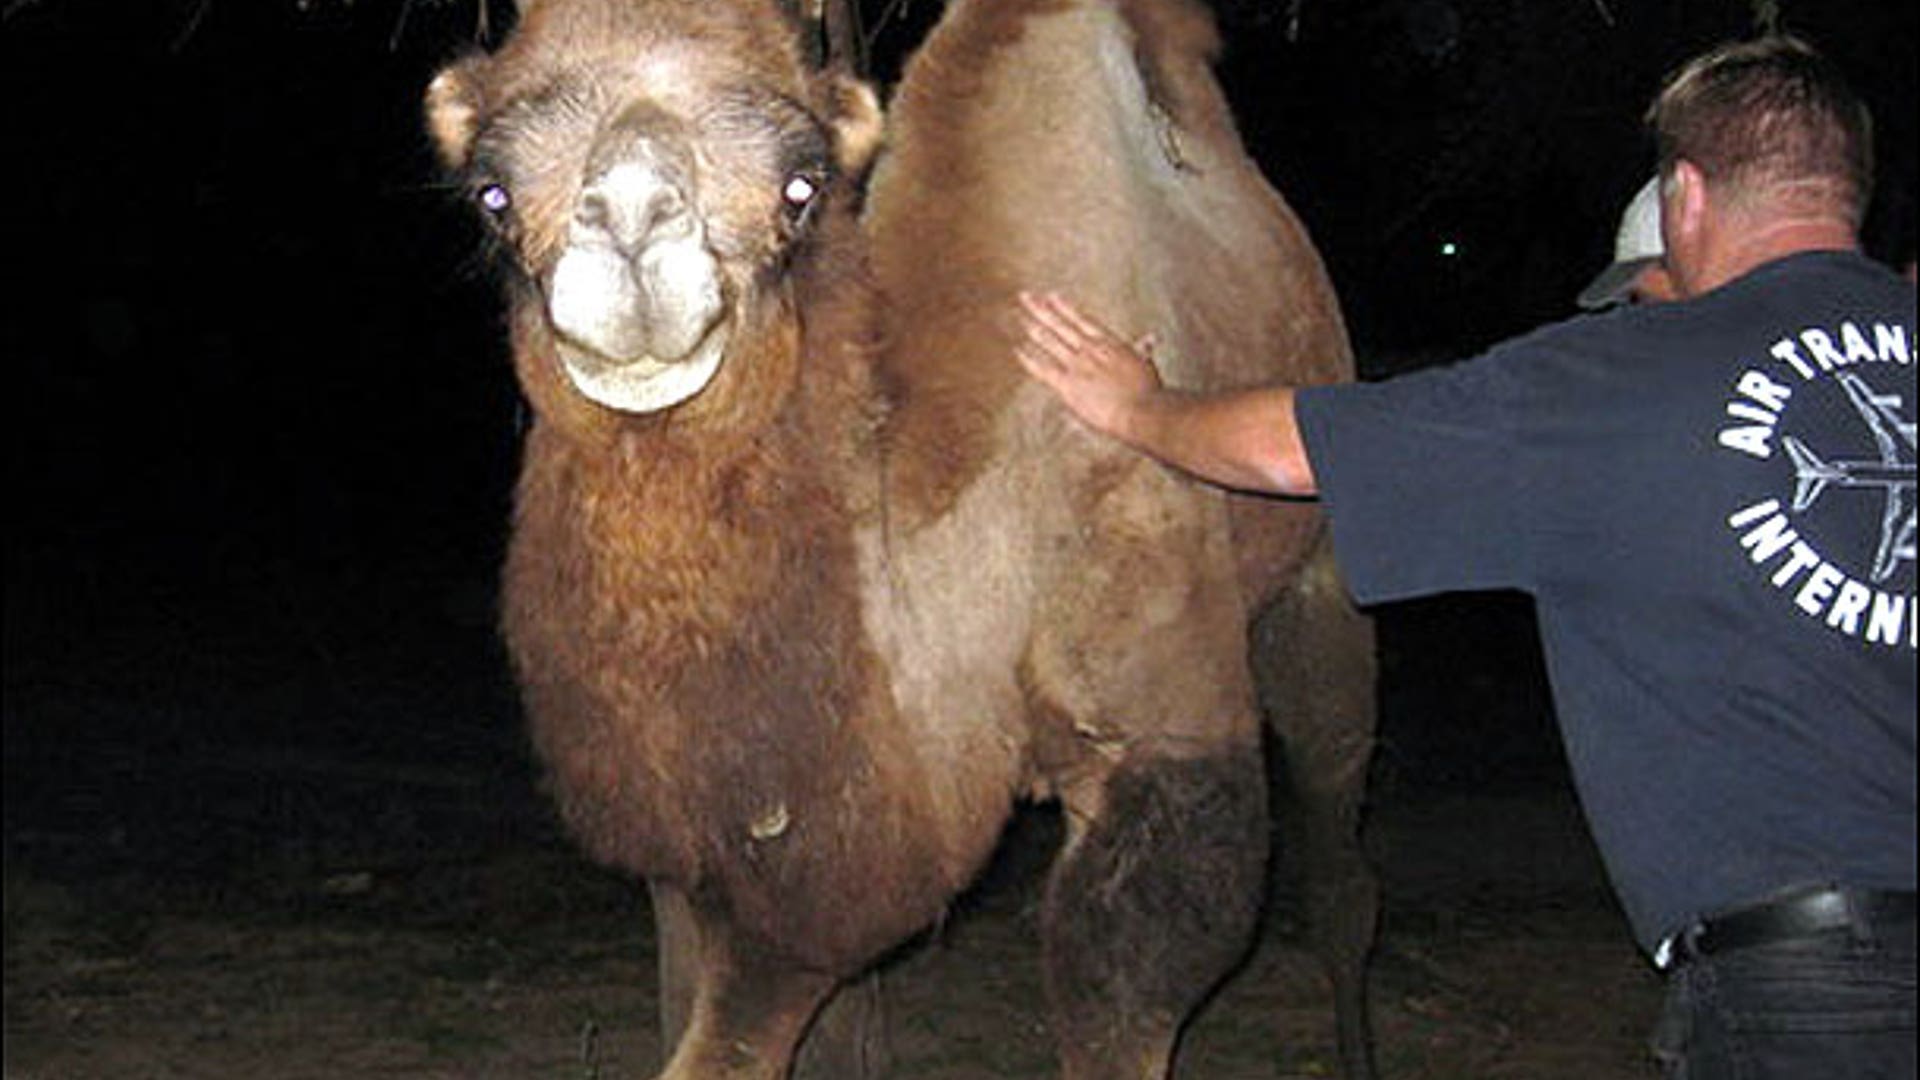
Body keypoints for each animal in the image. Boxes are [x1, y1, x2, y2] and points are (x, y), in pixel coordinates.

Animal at [424, 0, 1378, 1076]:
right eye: (493, 195)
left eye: (801, 187)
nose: (630, 224)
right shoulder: (773, 851)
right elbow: (753, 997)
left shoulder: (1160, 717)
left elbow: (1130, 965)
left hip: (1316, 573)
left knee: (1341, 859)